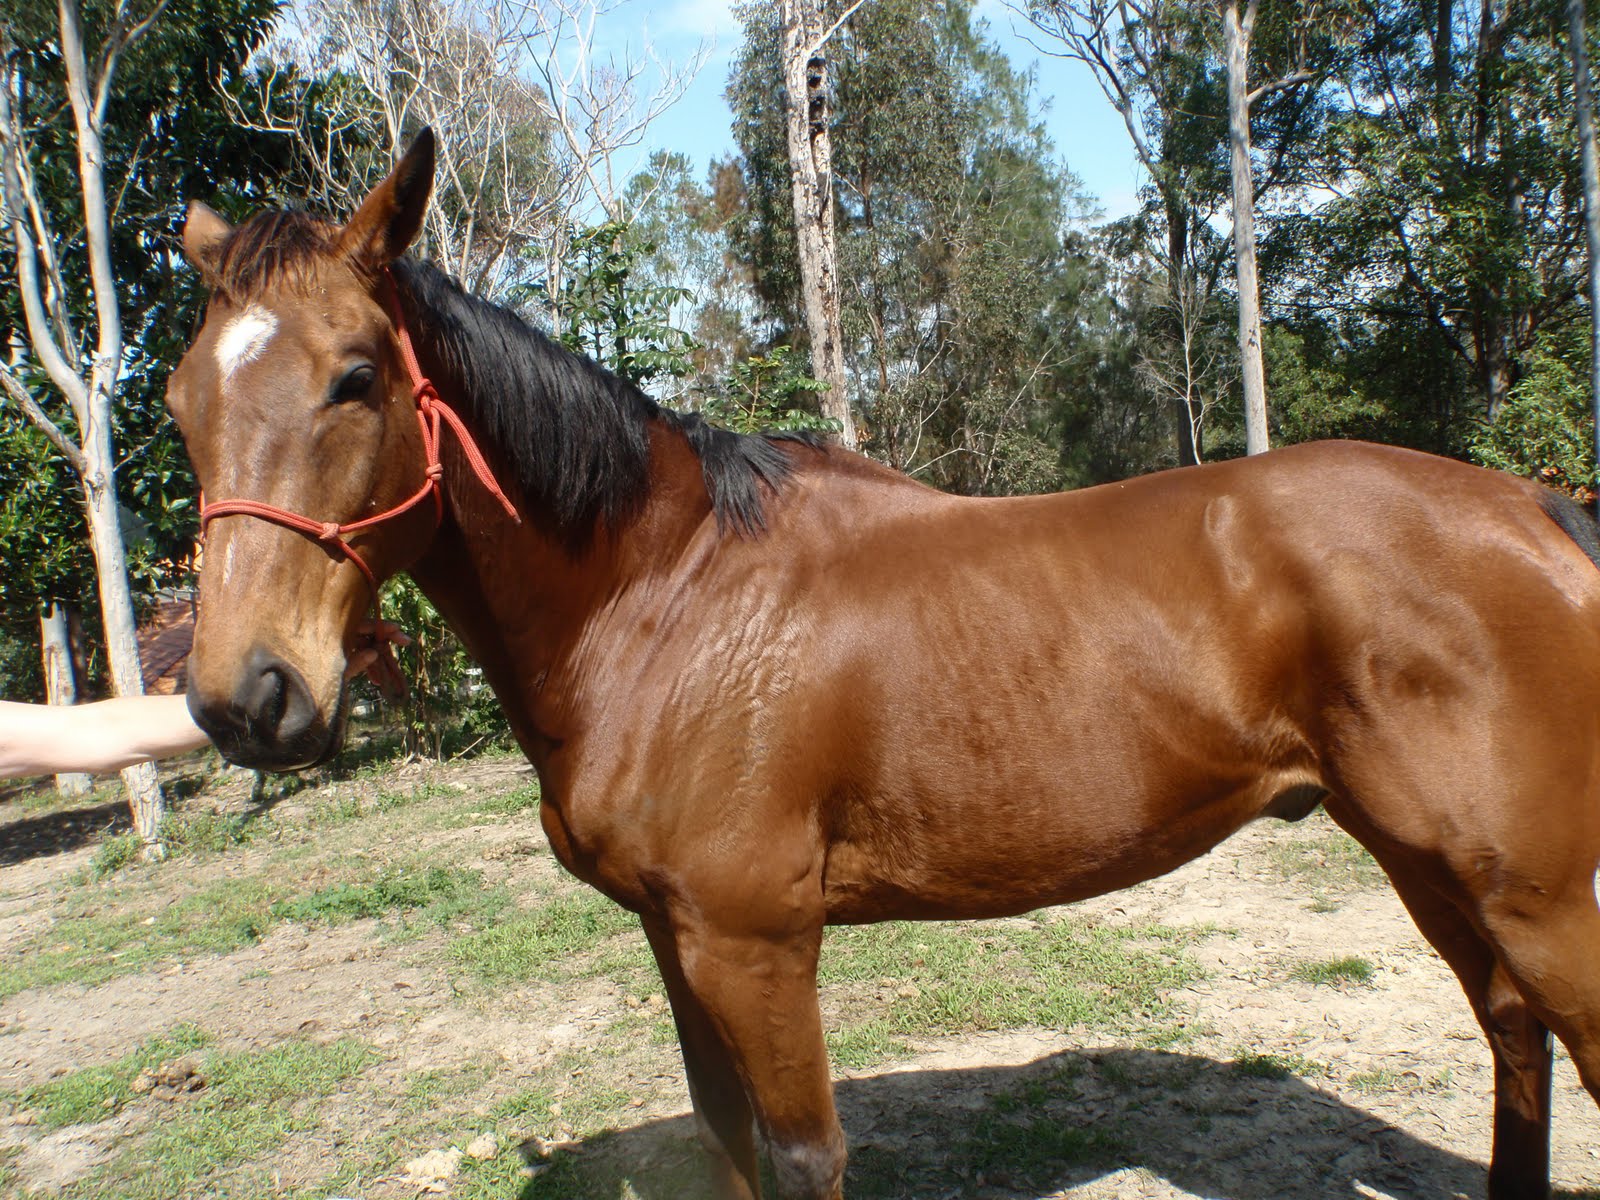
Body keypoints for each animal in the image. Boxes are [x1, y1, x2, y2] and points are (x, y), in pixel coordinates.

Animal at [166, 129, 1600, 1199]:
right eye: (182, 400)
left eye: (357, 377)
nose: (245, 700)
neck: (665, 599)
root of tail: (1535, 510)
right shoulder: (675, 939)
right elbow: (725, 1143)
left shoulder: (756, 945)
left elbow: (804, 1159)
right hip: (1419, 861)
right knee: (1511, 1036)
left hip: (1531, 892)